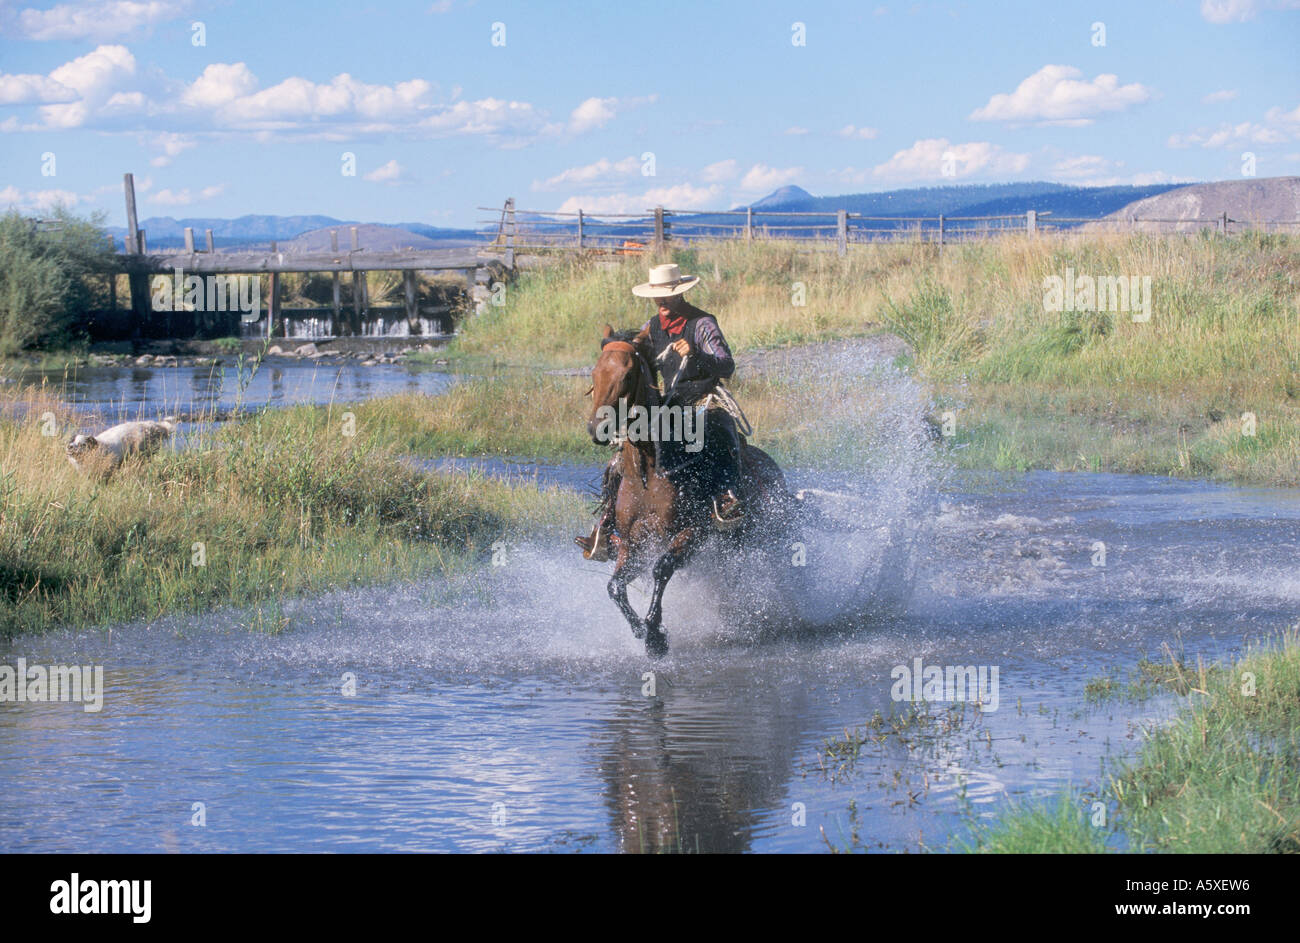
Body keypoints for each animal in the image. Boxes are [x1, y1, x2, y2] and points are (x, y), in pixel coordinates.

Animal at [585, 324, 795, 657]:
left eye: (628, 374)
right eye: (595, 373)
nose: (597, 428)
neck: (649, 473)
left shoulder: (692, 533)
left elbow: (661, 569)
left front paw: (655, 635)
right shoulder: (632, 544)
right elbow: (615, 586)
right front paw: (639, 630)